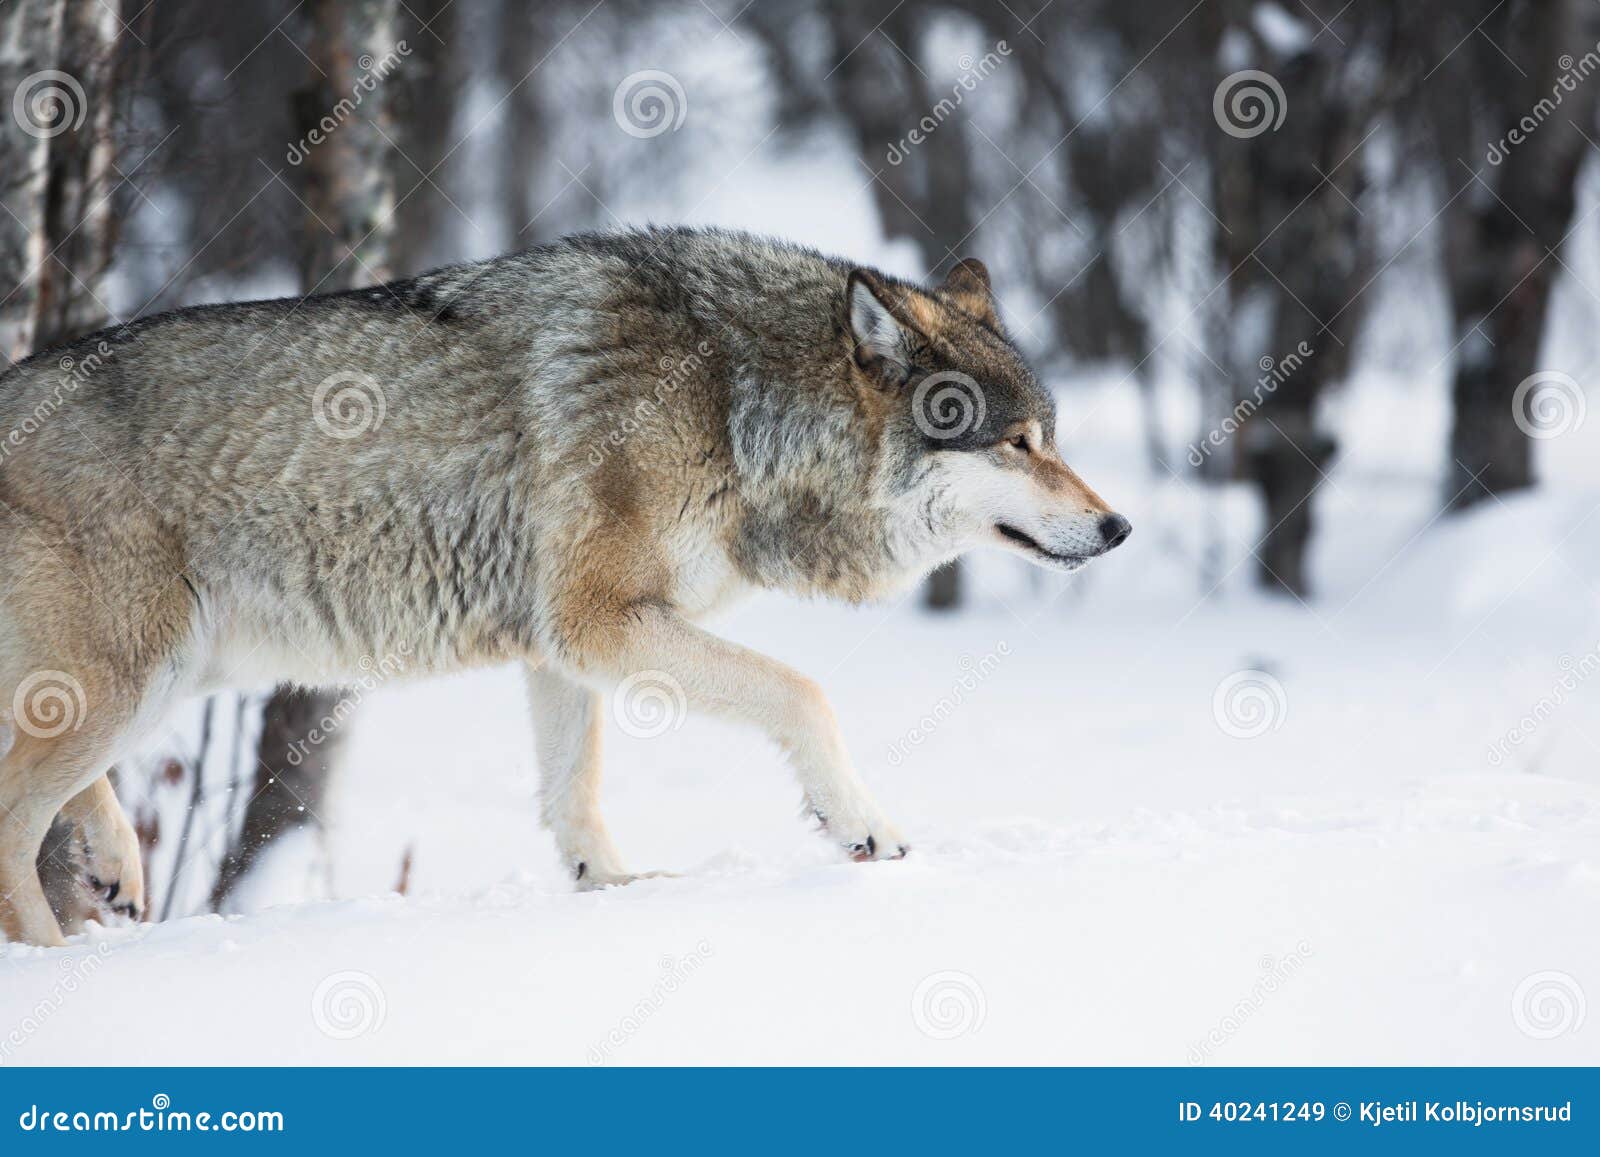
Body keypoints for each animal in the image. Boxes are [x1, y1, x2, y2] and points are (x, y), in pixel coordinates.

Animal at [0, 227, 1129, 945]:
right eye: (1019, 443)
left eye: (1054, 437)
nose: (1117, 527)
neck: (736, 402)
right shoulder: (600, 618)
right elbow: (803, 691)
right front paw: (864, 825)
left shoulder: (561, 643)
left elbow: (572, 790)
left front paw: (614, 892)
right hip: (136, 677)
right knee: (16, 817)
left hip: (157, 675)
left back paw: (115, 862)